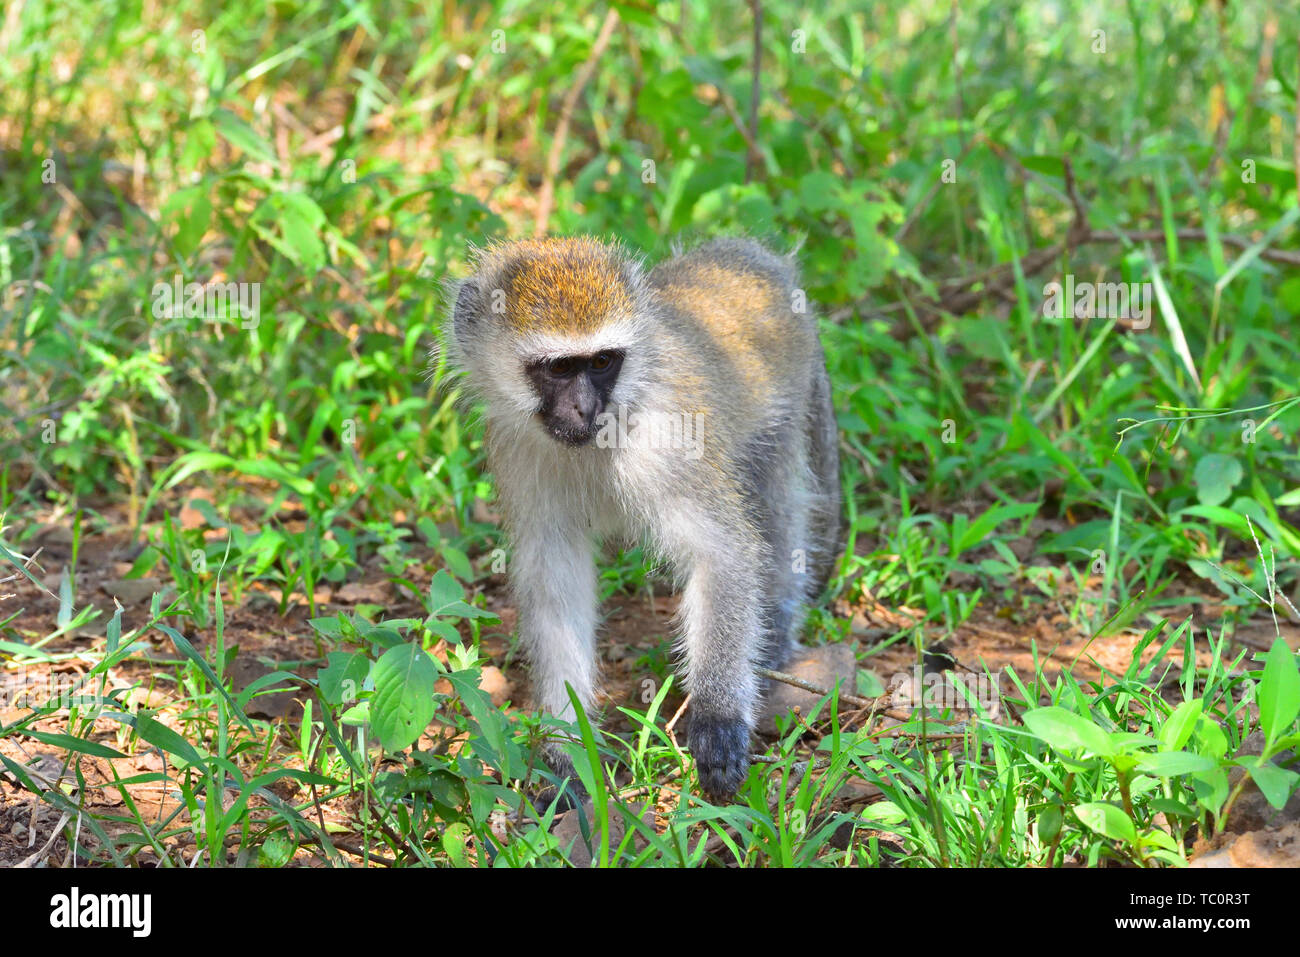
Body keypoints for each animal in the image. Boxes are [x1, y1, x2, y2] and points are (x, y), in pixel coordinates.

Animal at [445, 235, 841, 801]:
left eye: (602, 362)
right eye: (560, 369)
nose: (585, 410)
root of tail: (753, 258)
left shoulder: (670, 436)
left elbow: (721, 554)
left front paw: (718, 717)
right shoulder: (517, 448)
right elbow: (556, 580)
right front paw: (566, 750)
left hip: (783, 407)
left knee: (776, 507)